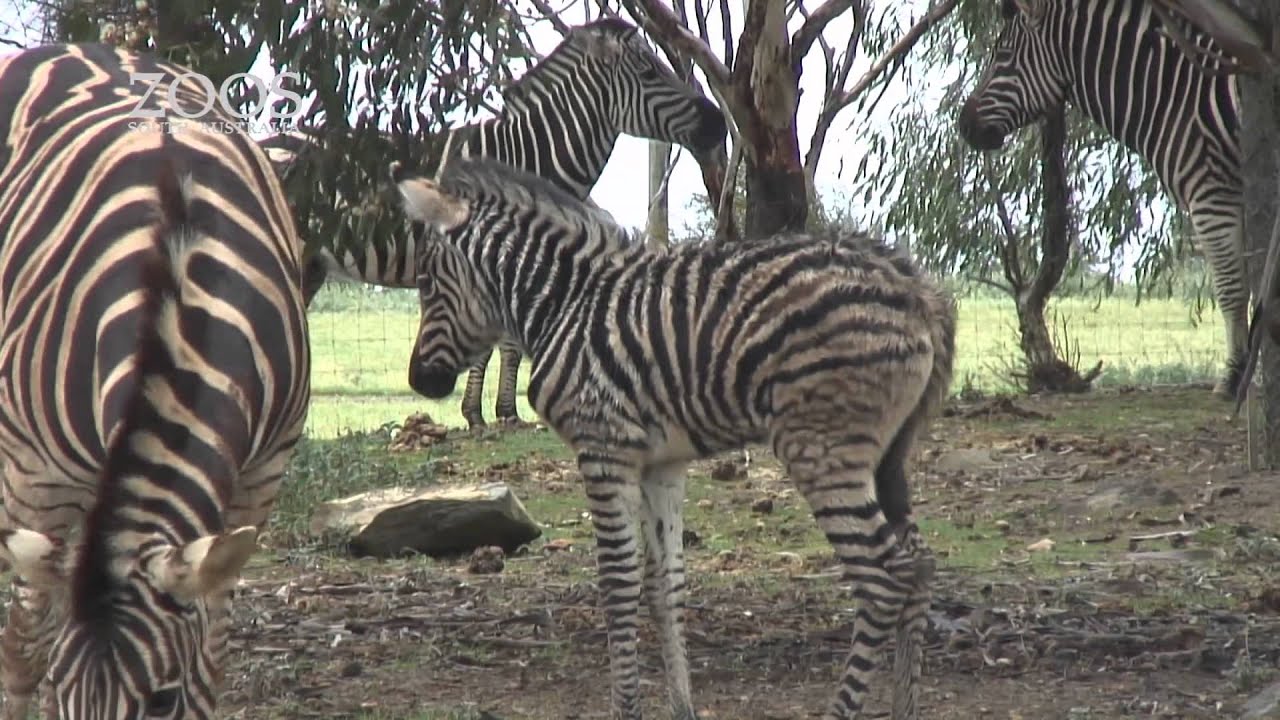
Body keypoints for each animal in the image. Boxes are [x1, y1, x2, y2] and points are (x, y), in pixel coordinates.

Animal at [0, 43, 310, 718]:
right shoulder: (39, 477)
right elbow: (25, 642)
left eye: (163, 701)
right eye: (64, 694)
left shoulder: (260, 476)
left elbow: (212, 648)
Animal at [262, 16, 726, 430]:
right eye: (651, 71)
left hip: (311, 265)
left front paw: (483, 412)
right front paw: (496, 414)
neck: (531, 153)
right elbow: (504, 345)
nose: (720, 123)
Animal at [391, 156, 955, 720]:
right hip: (889, 455)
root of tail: (914, 288)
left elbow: (619, 582)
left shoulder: (603, 449)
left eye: (426, 283)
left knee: (883, 578)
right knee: (920, 566)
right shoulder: (662, 463)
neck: (566, 304)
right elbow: (666, 583)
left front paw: (627, 707)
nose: (420, 381)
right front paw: (681, 706)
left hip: (820, 448)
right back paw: (905, 707)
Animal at [956, 0, 1244, 398]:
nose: (963, 125)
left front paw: (1233, 377)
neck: (1170, 92)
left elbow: (1231, 288)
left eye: (1002, 56)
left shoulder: (1211, 194)